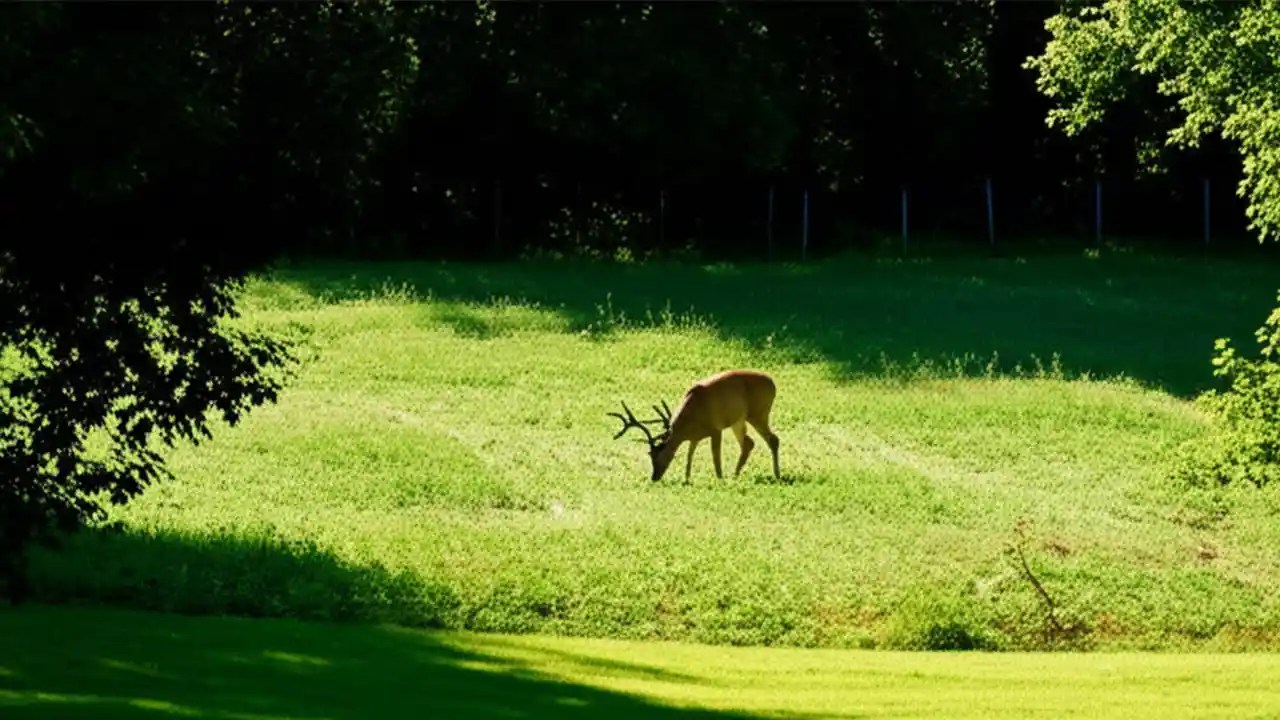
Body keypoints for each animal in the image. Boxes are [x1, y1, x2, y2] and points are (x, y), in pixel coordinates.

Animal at [608, 369, 781, 483]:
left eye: (654, 455)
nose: (654, 477)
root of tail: (773, 383)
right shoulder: (694, 437)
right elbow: (690, 455)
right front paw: (687, 478)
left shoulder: (715, 428)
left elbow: (715, 455)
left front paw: (719, 478)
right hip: (738, 420)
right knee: (748, 443)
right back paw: (735, 474)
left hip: (758, 413)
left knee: (773, 439)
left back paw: (777, 475)